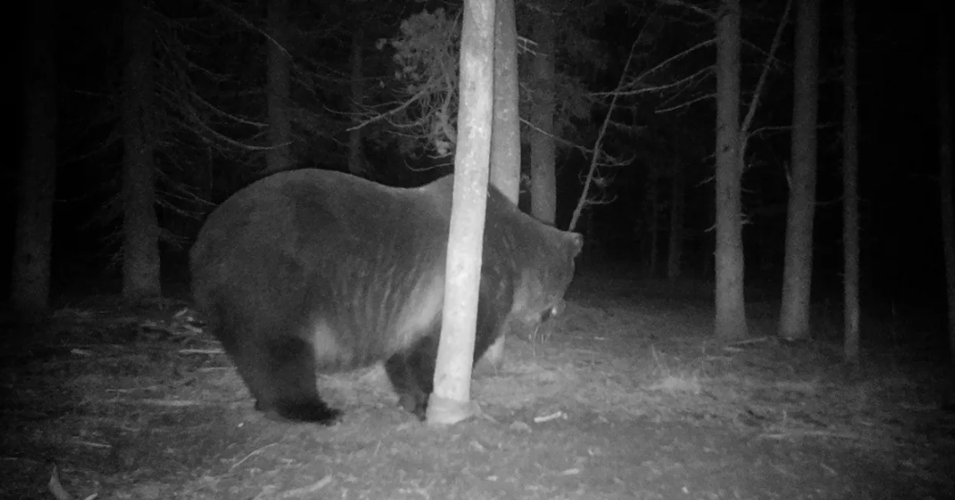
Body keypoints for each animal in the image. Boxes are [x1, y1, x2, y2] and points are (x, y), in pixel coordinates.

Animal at [189, 169, 582, 424]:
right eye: (564, 285)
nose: (561, 309)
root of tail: (201, 243)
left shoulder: (413, 307)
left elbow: (406, 352)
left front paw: (410, 399)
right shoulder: (476, 280)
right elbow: (438, 347)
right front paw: (429, 402)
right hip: (269, 282)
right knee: (280, 351)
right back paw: (315, 410)